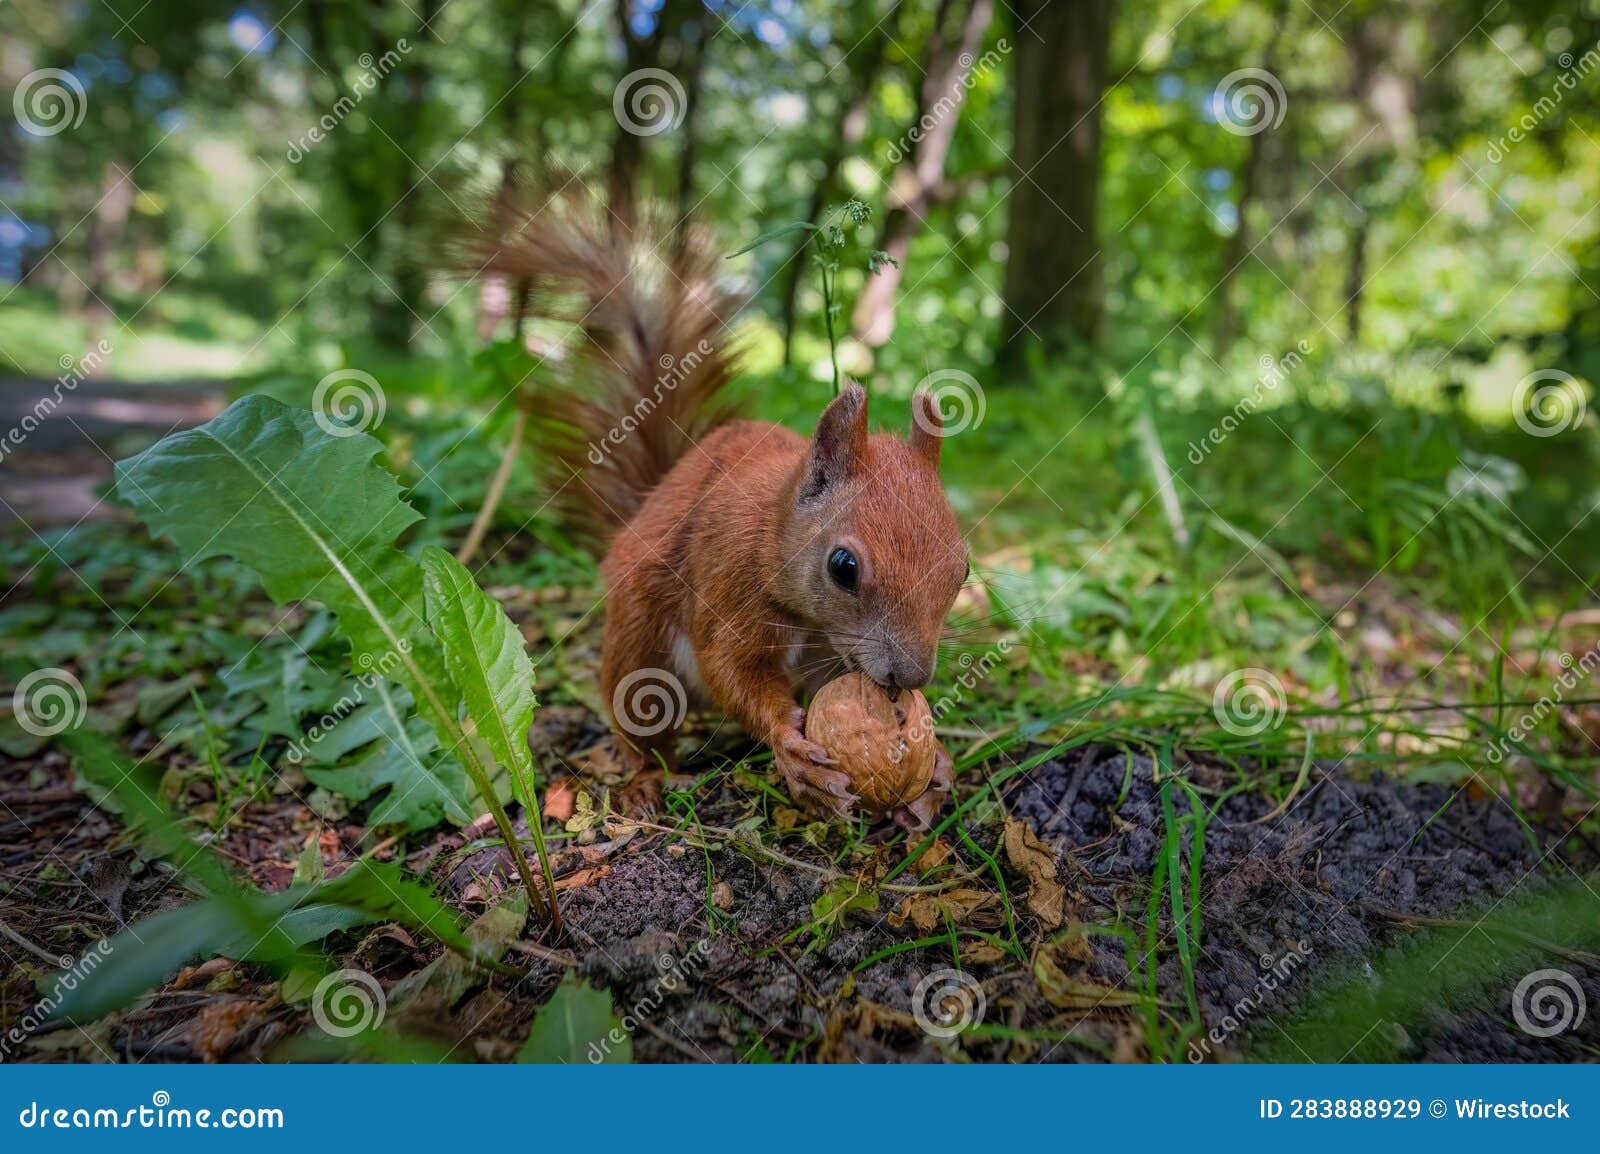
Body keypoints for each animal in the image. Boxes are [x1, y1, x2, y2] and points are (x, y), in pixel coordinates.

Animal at [461, 179, 967, 829]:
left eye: (964, 570)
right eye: (843, 567)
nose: (911, 677)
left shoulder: (833, 652)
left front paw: (936, 769)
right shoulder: (727, 579)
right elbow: (730, 670)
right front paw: (792, 752)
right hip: (637, 648)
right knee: (641, 725)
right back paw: (646, 782)